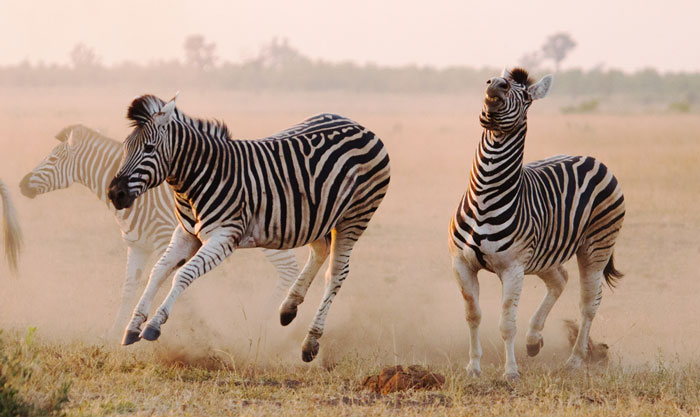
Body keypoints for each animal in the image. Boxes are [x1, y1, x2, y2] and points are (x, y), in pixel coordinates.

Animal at [19, 125, 300, 336]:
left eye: (53, 159)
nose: (22, 185)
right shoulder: (137, 246)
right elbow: (129, 288)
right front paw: (116, 330)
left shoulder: (166, 239)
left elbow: (175, 287)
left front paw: (192, 329)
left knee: (289, 268)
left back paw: (263, 322)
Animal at [108, 94, 390, 362]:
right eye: (126, 147)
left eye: (149, 148)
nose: (115, 194)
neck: (198, 178)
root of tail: (361, 127)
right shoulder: (186, 234)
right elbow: (158, 271)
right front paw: (133, 326)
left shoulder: (224, 237)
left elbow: (183, 274)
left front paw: (154, 324)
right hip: (314, 217)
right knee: (320, 251)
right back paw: (288, 307)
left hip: (354, 217)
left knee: (336, 274)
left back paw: (310, 343)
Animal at [449, 68, 625, 380]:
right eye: (493, 80)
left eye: (526, 96)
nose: (496, 84)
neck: (483, 196)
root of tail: (591, 158)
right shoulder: (461, 263)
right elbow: (473, 315)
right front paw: (473, 367)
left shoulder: (513, 268)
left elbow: (507, 323)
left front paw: (510, 372)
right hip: (544, 254)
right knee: (560, 280)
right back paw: (533, 339)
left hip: (596, 247)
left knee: (589, 303)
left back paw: (575, 360)